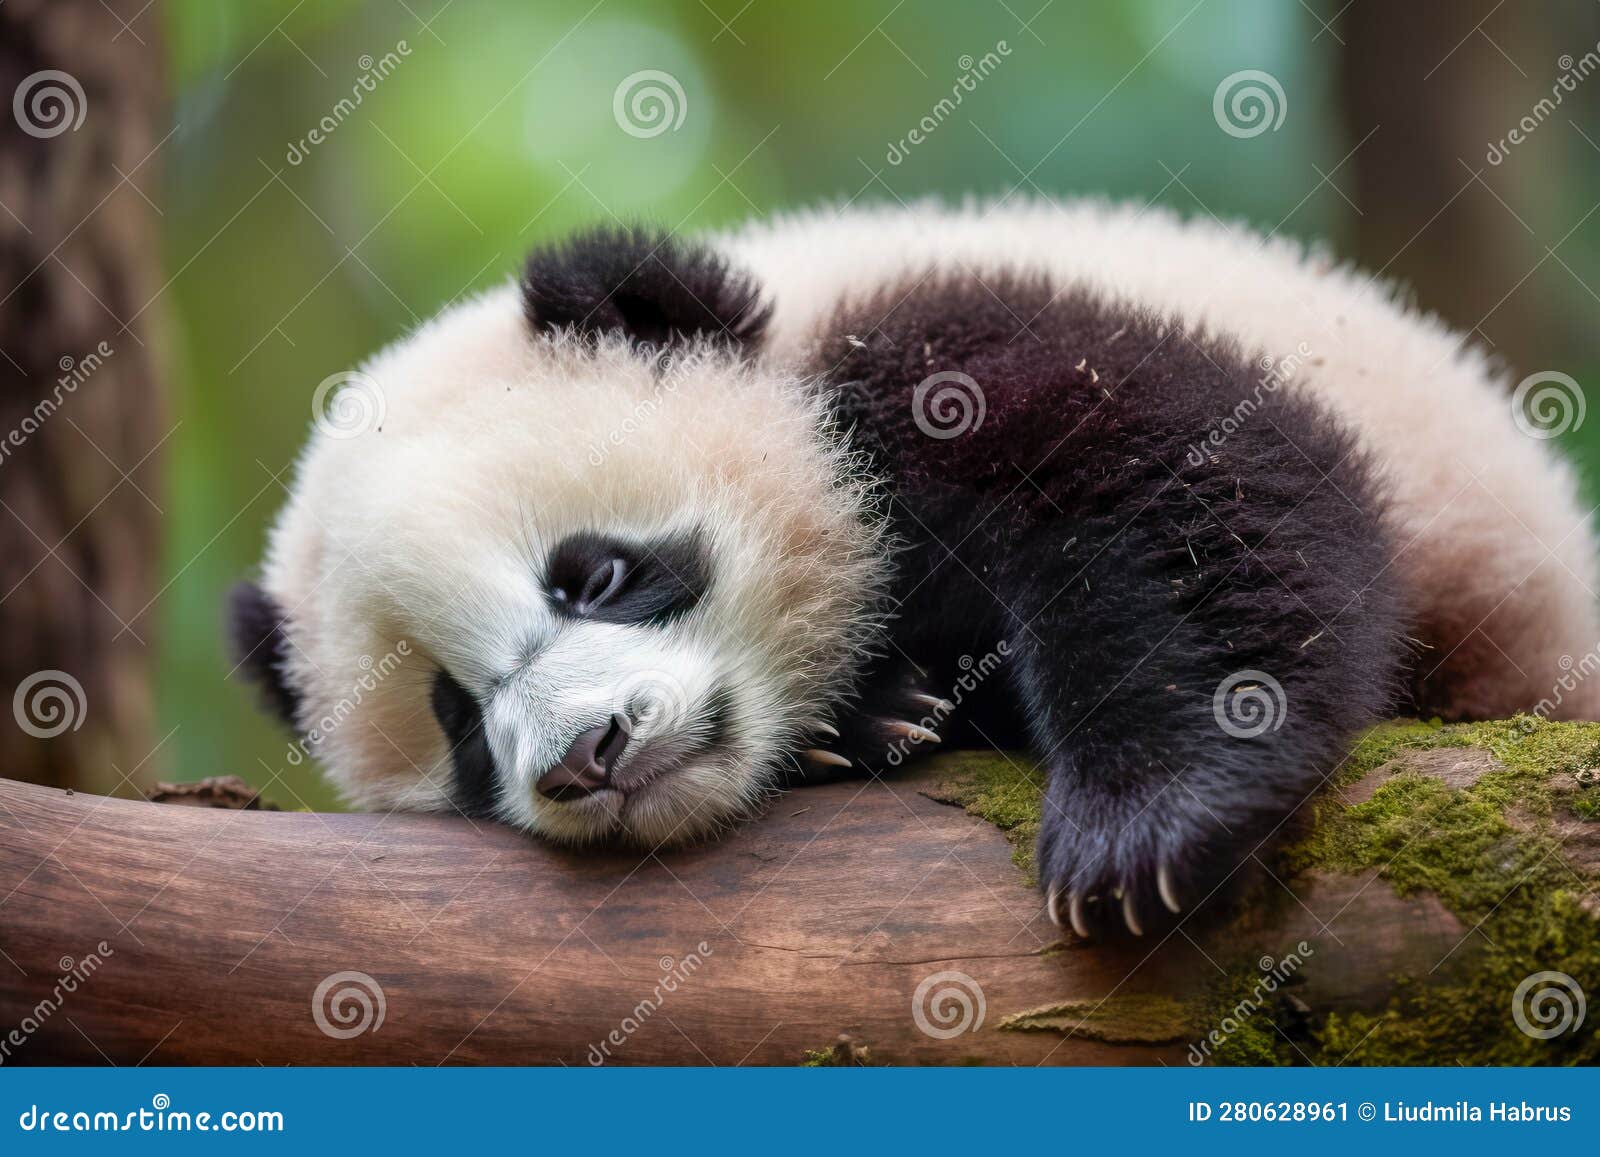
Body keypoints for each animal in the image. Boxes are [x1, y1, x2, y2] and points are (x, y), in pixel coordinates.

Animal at [229, 198, 1600, 938]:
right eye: (461, 724)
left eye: (593, 577)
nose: (585, 755)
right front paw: (868, 719)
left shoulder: (947, 339)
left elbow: (1183, 485)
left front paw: (1139, 829)